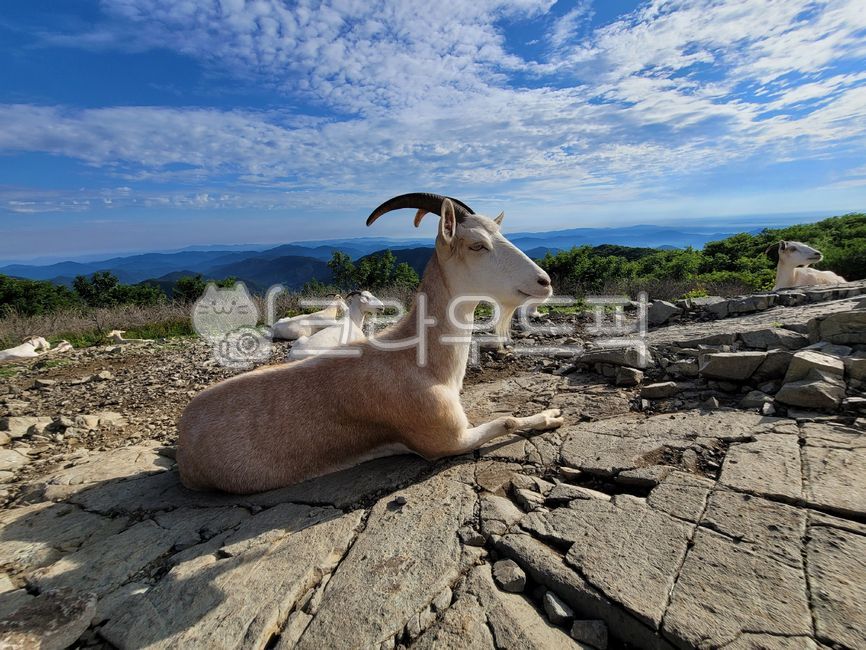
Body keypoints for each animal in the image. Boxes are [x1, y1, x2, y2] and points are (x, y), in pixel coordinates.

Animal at [178, 192, 563, 494]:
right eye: (477, 244)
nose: (544, 281)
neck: (417, 360)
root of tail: (184, 432)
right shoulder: (446, 440)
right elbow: (508, 421)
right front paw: (551, 416)